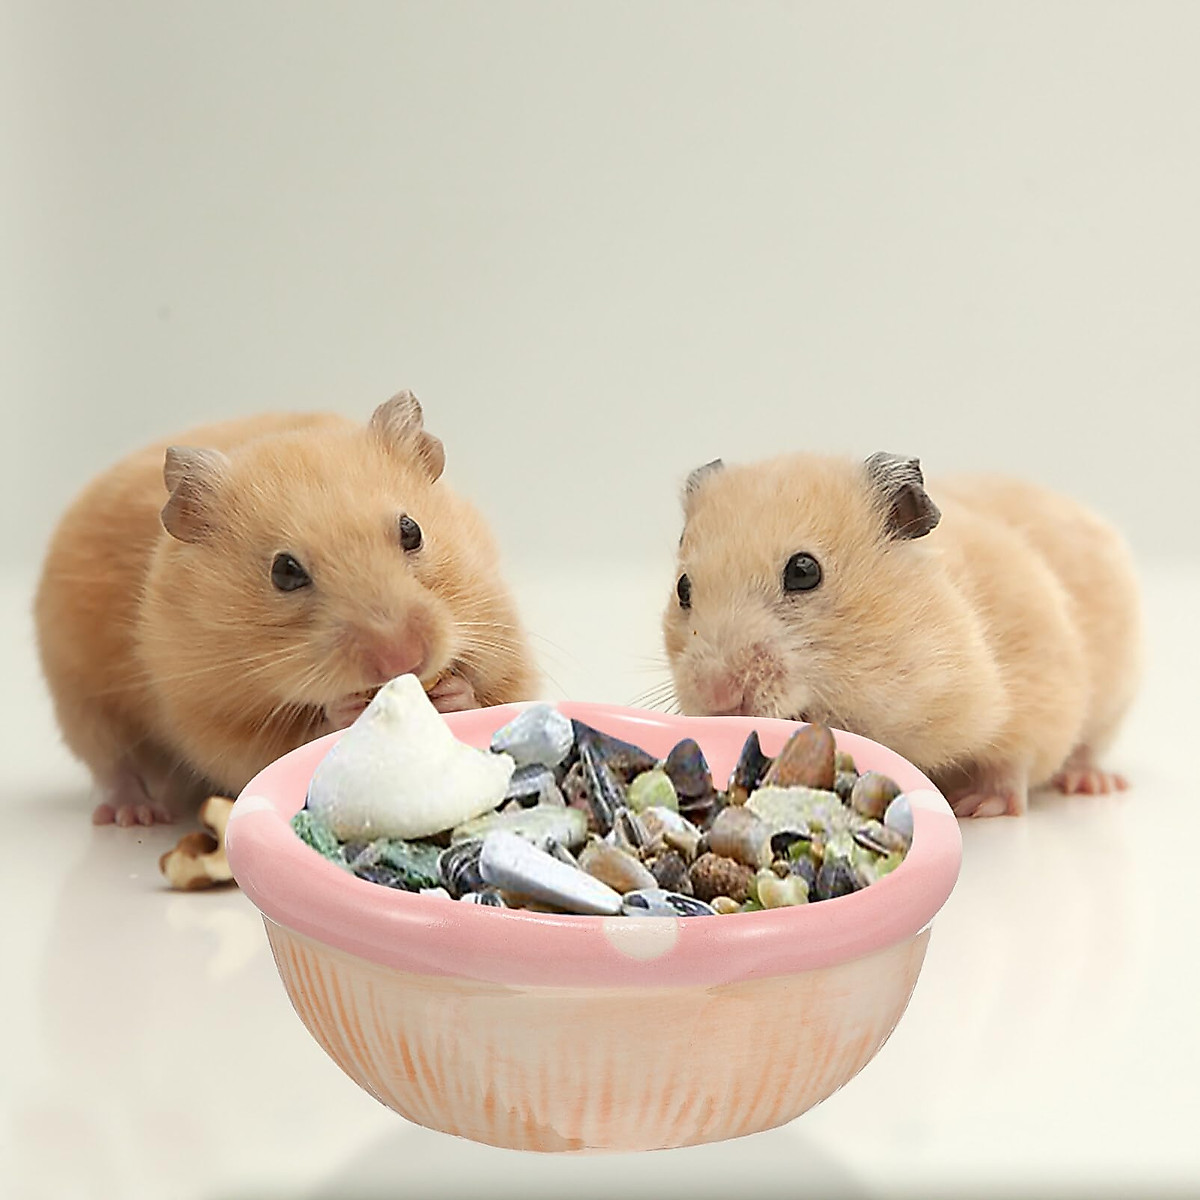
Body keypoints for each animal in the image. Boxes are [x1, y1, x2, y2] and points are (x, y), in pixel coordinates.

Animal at [35, 391, 539, 826]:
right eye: (285, 572)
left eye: (411, 530)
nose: (403, 660)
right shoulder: (209, 714)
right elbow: (287, 740)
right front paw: (344, 713)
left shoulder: (504, 638)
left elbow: (499, 696)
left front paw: (453, 695)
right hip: (80, 700)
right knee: (113, 766)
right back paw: (135, 814)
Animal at [662, 452, 1141, 817]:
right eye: (683, 588)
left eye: (803, 571)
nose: (717, 694)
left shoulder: (1040, 685)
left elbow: (1011, 762)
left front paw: (977, 805)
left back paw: (1092, 782)